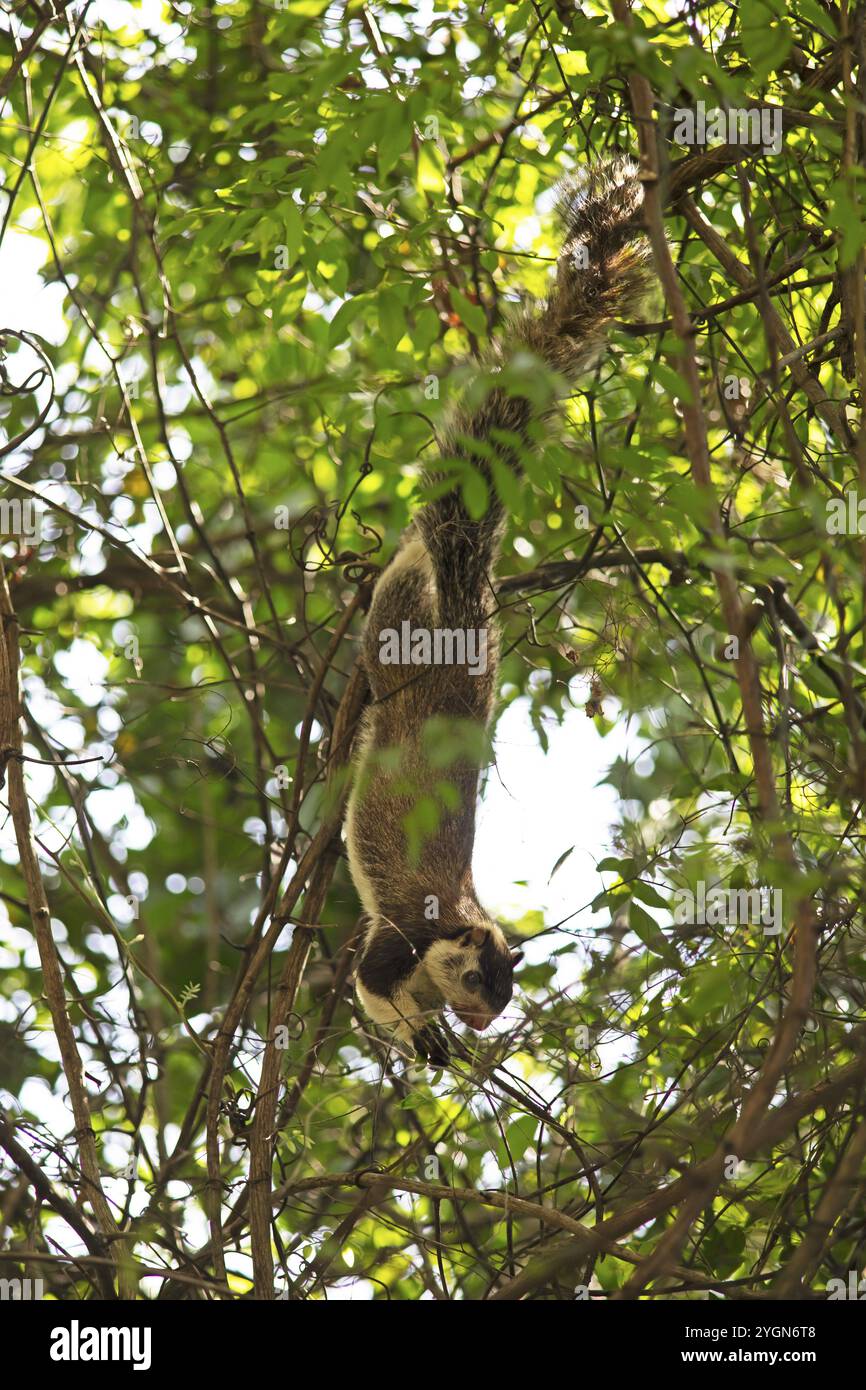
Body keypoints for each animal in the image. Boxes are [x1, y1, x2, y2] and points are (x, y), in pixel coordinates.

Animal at [345, 160, 652, 1066]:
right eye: (479, 975)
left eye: (510, 991)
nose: (484, 1020)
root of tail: (466, 610)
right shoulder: (397, 941)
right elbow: (371, 988)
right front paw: (425, 1039)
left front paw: (440, 1039)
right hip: (396, 635)